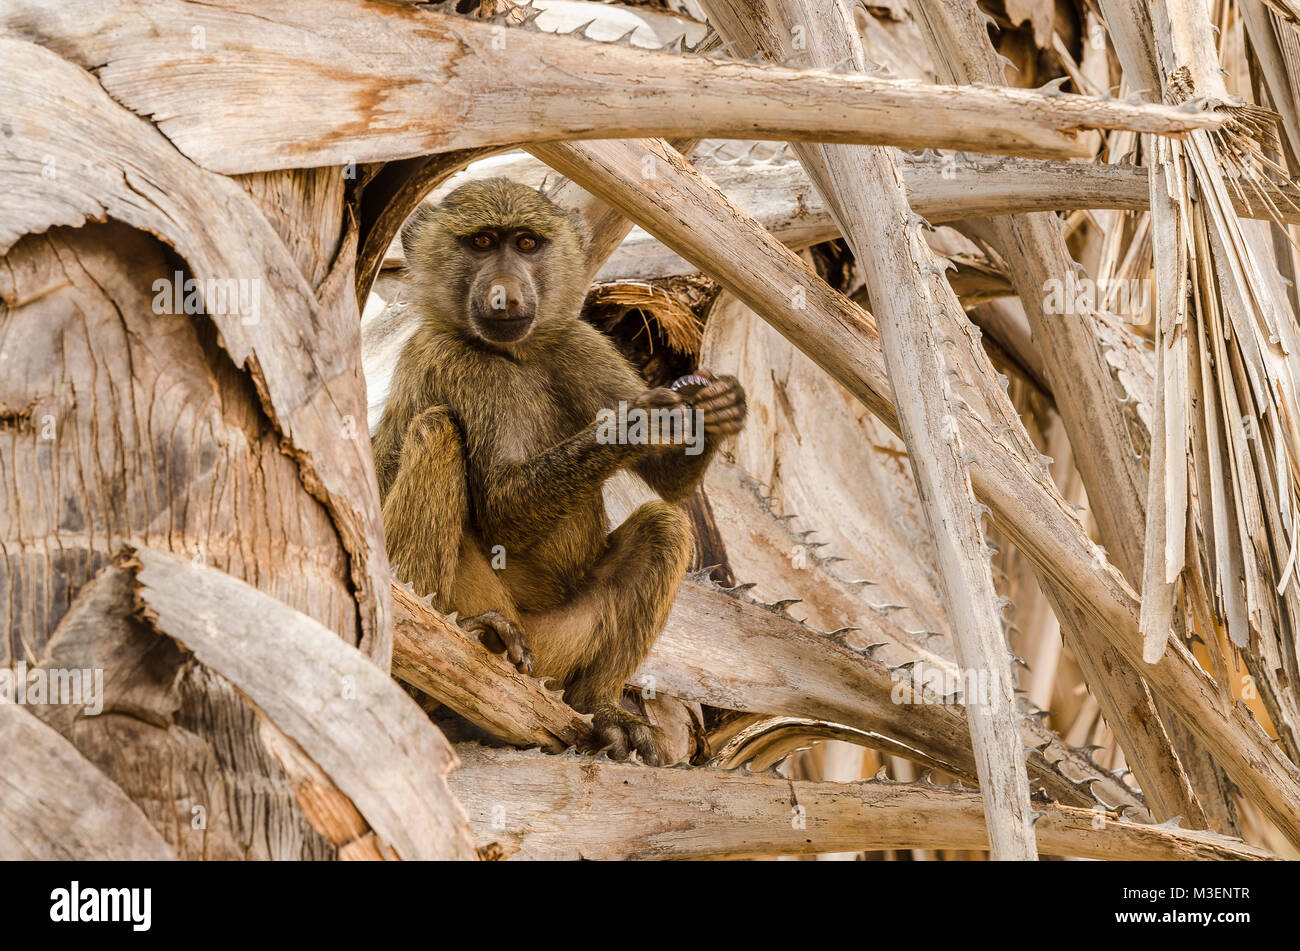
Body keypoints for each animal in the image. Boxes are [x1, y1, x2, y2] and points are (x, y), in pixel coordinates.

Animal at [374, 178, 747, 764]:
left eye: (527, 243)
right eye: (481, 242)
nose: (505, 294)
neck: (514, 354)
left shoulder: (579, 342)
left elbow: (669, 482)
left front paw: (713, 408)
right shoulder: (454, 360)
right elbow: (502, 514)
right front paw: (633, 425)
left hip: (558, 645)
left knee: (663, 526)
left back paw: (603, 711)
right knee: (435, 431)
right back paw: (435, 660)